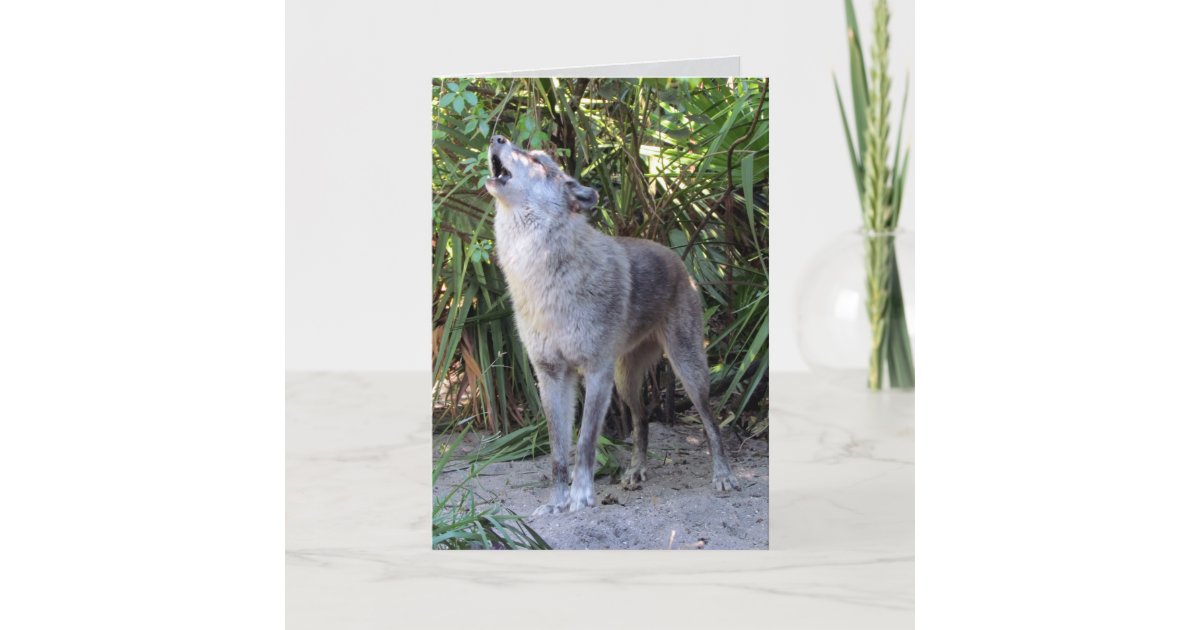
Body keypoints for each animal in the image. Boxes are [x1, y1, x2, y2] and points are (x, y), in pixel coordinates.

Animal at [483, 135, 739, 516]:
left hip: (688, 372)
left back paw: (722, 476)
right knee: (642, 419)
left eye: (538, 160)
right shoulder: (551, 375)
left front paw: (581, 498)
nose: (496, 137)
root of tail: (676, 257)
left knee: (711, 422)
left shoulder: (595, 372)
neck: (542, 274)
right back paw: (634, 473)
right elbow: (558, 453)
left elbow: (585, 443)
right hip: (626, 380)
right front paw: (555, 504)